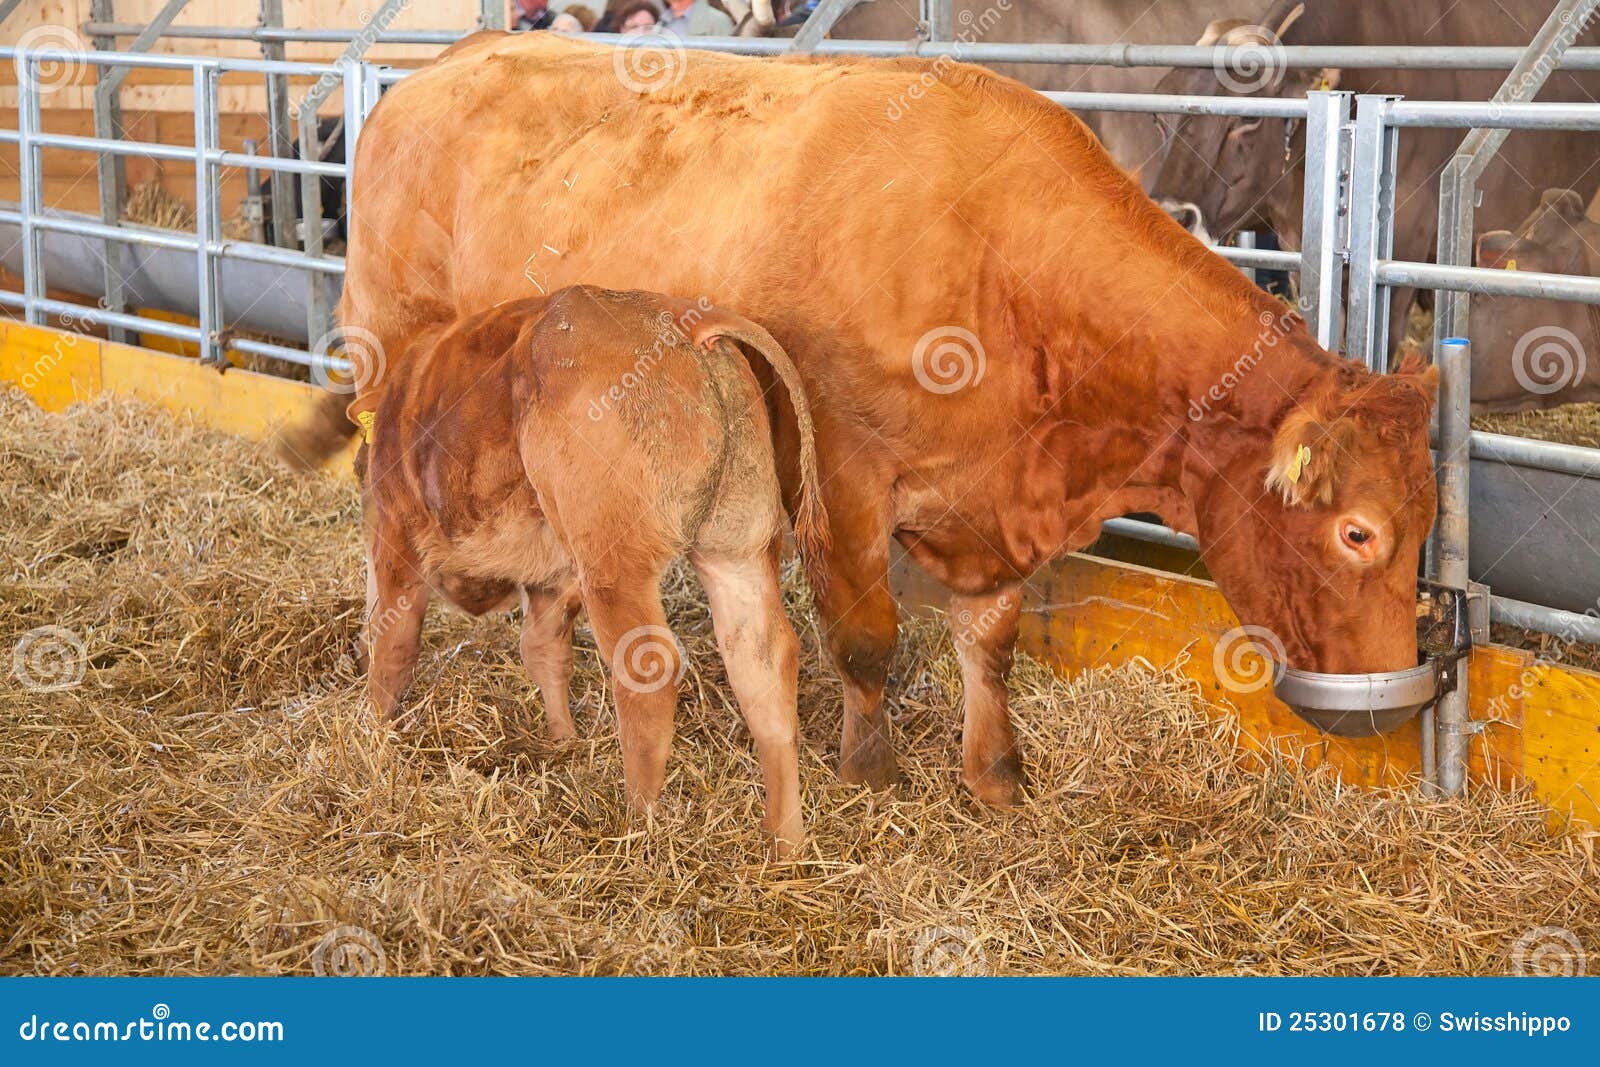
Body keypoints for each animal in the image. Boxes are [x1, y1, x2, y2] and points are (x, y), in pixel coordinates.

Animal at [351, 285, 828, 855]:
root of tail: (683, 318)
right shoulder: (553, 580)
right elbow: (543, 651)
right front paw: (564, 739)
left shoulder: (398, 535)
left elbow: (393, 642)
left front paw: (372, 733)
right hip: (737, 547)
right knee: (763, 663)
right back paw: (786, 840)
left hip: (615, 567)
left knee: (650, 670)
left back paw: (638, 823)